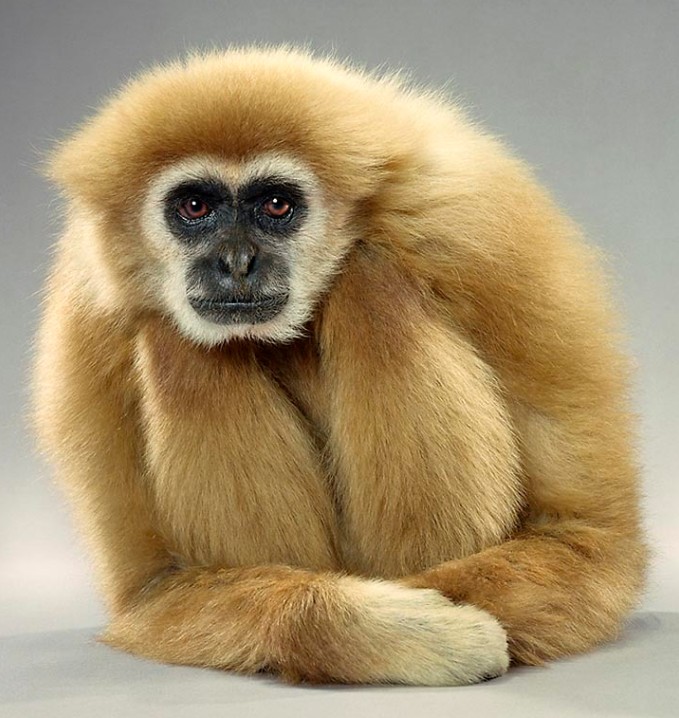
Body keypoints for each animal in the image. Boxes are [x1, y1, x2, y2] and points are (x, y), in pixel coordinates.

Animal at [32, 47, 648, 686]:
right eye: (194, 207)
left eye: (276, 205)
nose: (237, 261)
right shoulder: (88, 310)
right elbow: (154, 588)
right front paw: (398, 631)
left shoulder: (478, 233)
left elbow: (589, 537)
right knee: (177, 338)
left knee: (368, 278)